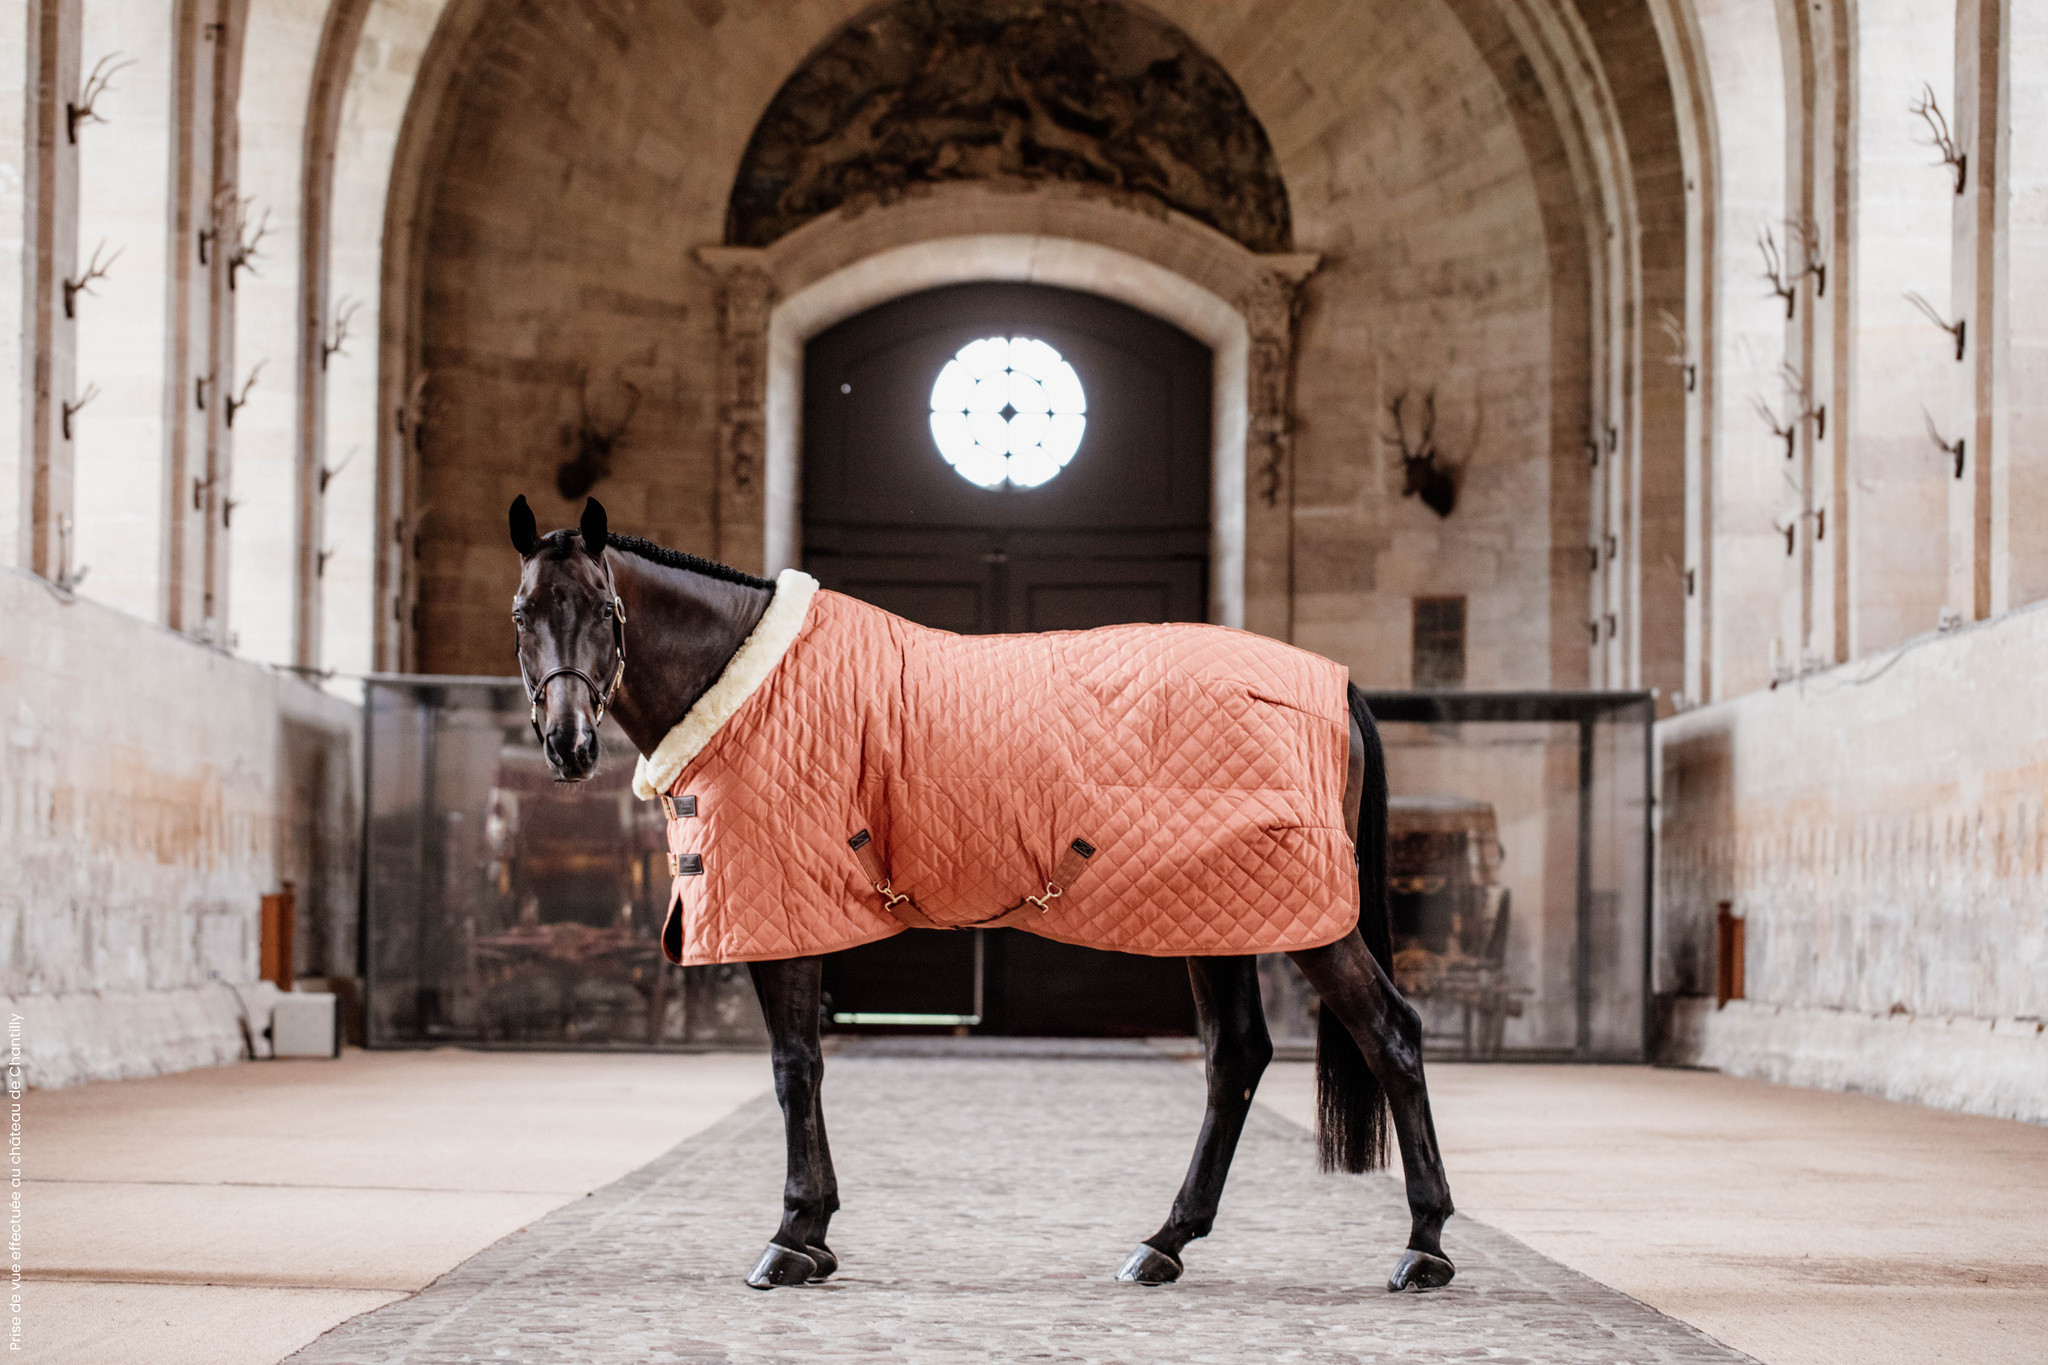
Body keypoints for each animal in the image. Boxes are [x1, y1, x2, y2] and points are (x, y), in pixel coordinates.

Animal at [507, 494, 1455, 1294]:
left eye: (605, 608)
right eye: (523, 614)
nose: (569, 744)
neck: (749, 684)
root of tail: (1337, 685)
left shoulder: (784, 916)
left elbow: (793, 1066)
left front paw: (792, 1236)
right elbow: (807, 1066)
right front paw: (817, 1235)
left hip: (1308, 921)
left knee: (1390, 1035)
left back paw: (1425, 1245)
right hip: (1216, 915)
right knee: (1237, 1057)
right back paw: (1165, 1242)